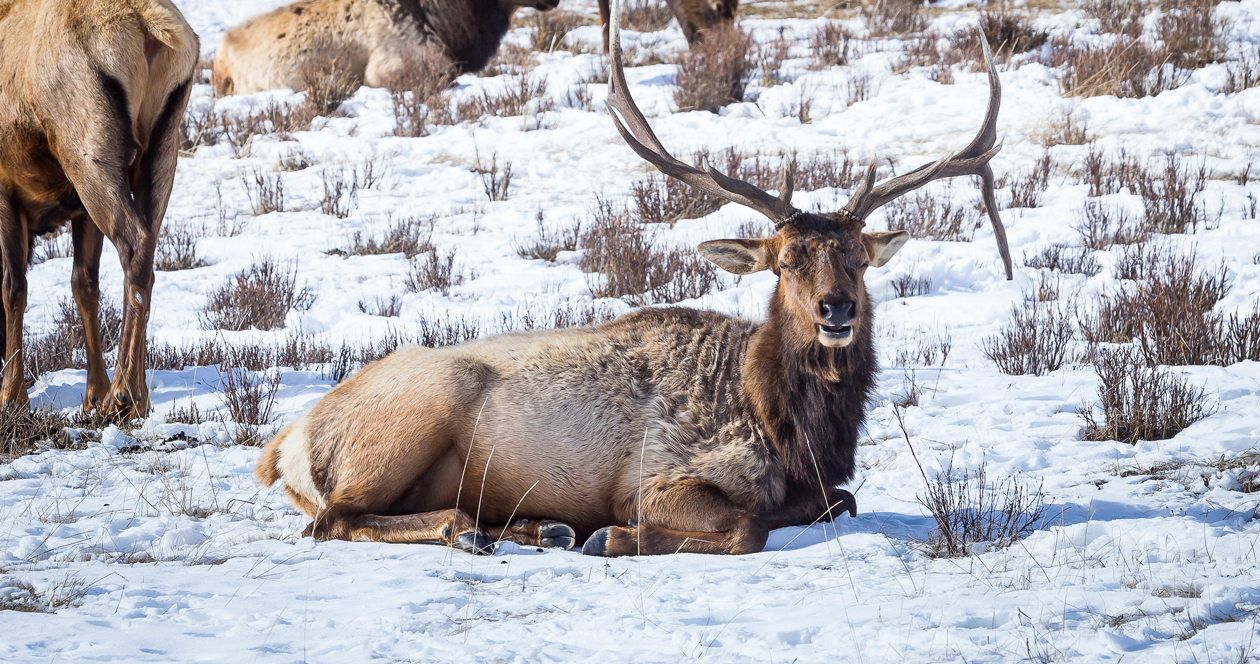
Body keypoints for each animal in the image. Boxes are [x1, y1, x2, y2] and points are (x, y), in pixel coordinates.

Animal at [0, 0, 199, 417]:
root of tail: (149, 25)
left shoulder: (7, 190)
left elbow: (14, 288)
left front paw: (12, 397)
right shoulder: (77, 211)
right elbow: (84, 286)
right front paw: (92, 392)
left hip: (89, 153)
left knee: (134, 245)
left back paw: (122, 395)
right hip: (162, 150)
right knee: (146, 254)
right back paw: (134, 394)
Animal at [254, 6, 1012, 557]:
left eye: (857, 255)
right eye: (788, 257)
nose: (836, 309)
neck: (791, 430)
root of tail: (283, 447)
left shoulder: (818, 484)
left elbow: (838, 503)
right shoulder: (657, 475)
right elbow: (747, 526)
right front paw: (613, 537)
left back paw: (537, 528)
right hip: (413, 416)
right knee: (334, 519)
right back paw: (476, 530)